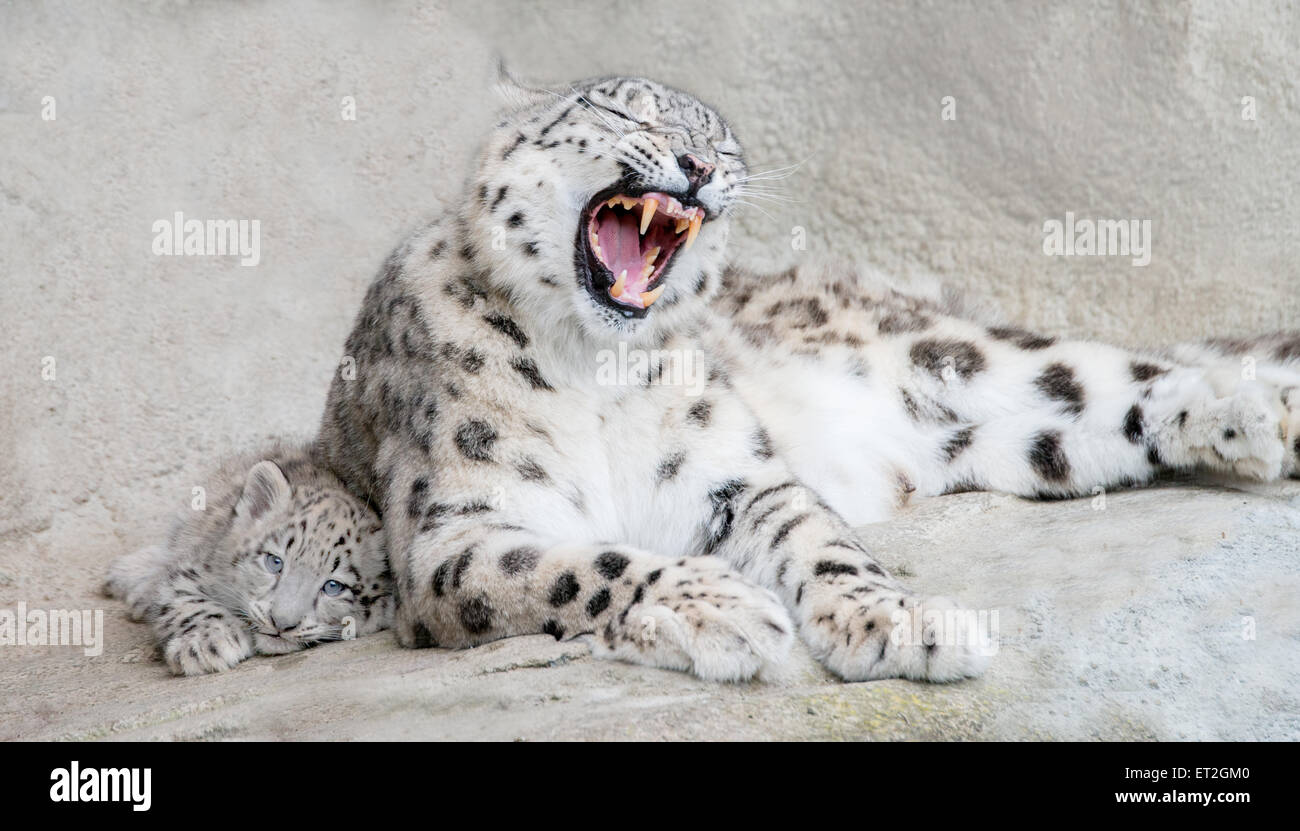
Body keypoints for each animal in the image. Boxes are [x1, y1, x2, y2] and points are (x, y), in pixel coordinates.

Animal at [104, 441, 392, 675]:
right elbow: (188, 605)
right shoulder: (190, 572)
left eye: (333, 586)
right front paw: (205, 645)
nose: (281, 623)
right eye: (274, 562)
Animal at [315, 70, 1300, 683]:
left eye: (719, 143)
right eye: (628, 116)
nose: (699, 166)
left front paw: (899, 622)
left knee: (1125, 371)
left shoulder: (737, 475)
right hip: (1023, 438)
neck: (592, 365)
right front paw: (721, 607)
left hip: (965, 357)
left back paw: (1268, 413)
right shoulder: (453, 532)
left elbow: (821, 541)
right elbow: (573, 565)